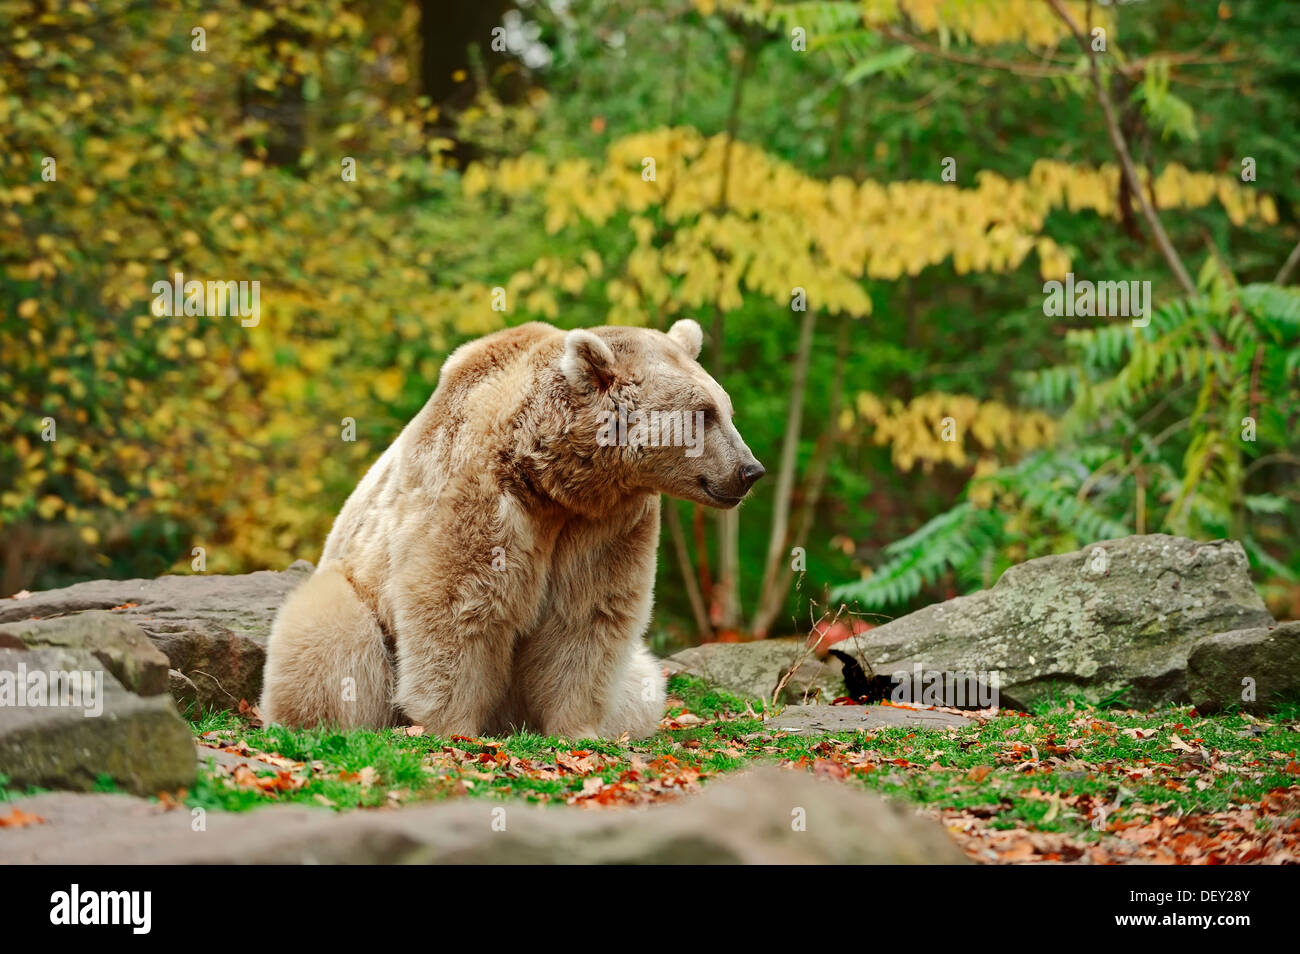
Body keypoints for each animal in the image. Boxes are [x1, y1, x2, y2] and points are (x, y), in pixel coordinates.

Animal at [259, 318, 764, 739]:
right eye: (704, 413)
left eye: (726, 408)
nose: (750, 470)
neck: (553, 477)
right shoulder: (477, 490)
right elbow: (456, 604)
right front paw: (451, 728)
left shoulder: (606, 522)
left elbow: (587, 616)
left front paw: (578, 731)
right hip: (352, 585)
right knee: (328, 641)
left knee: (643, 685)